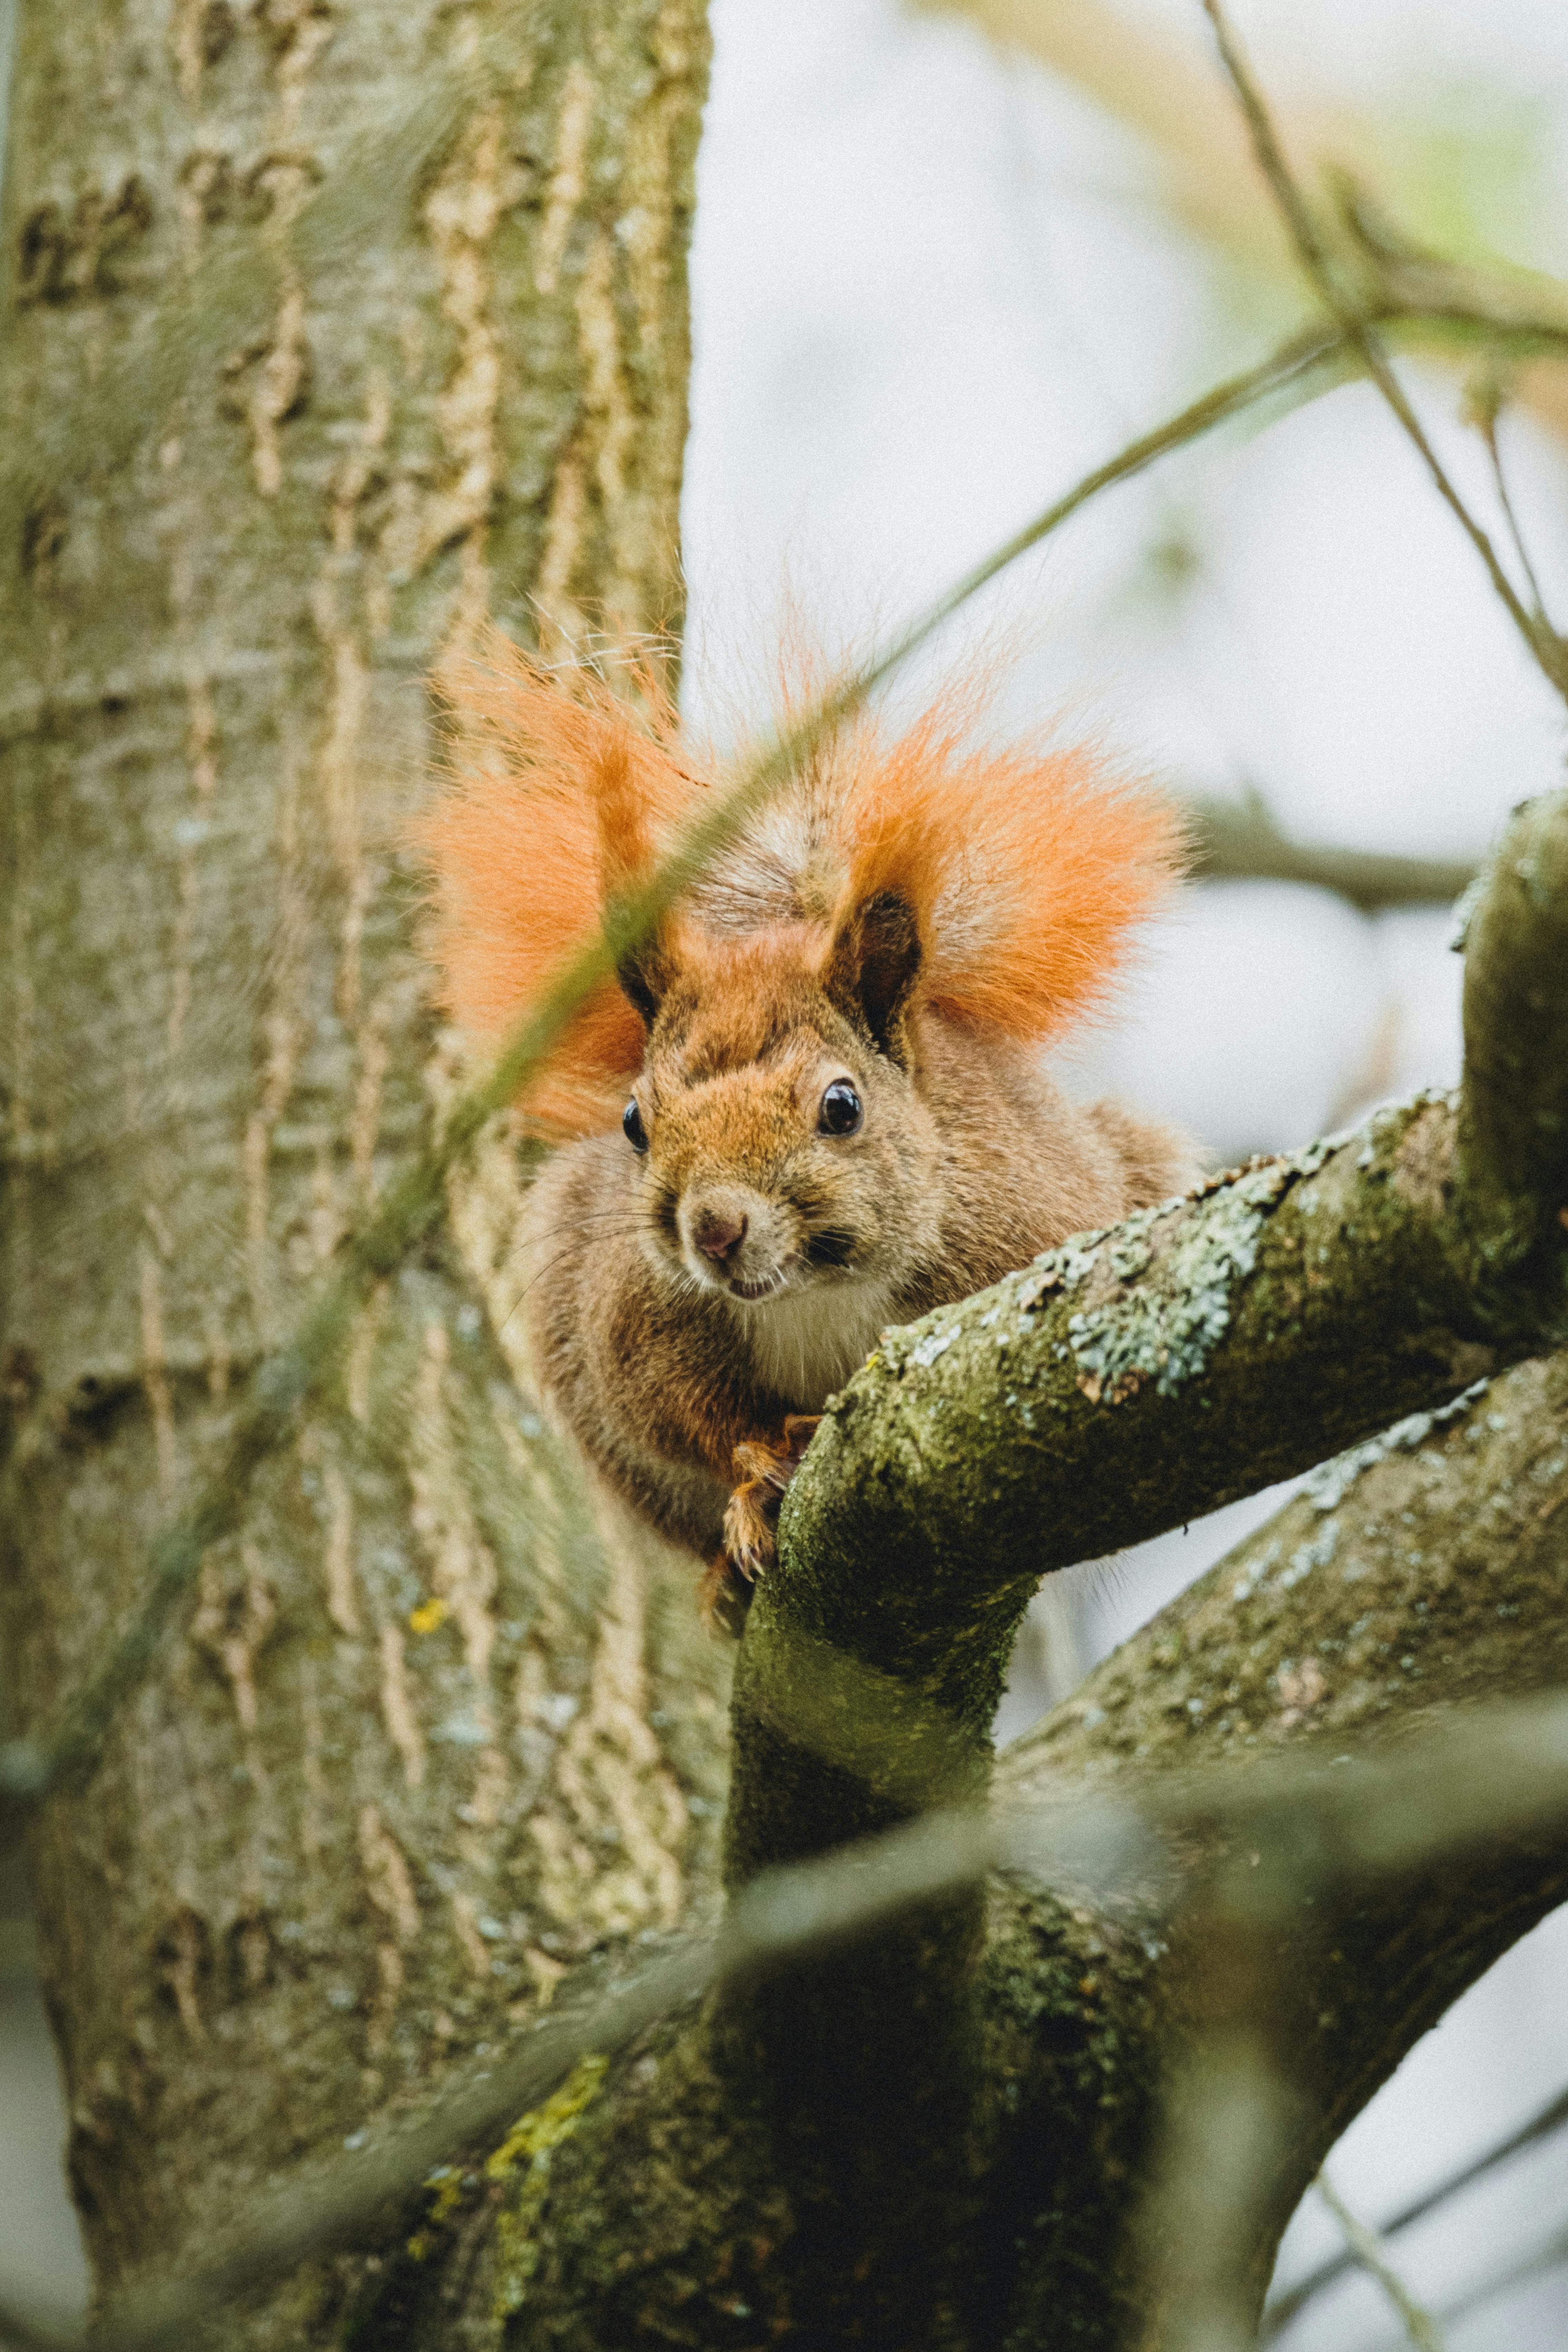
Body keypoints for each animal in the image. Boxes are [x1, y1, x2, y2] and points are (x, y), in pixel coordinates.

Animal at [418, 633, 1191, 1630]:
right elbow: (686, 1413)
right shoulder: (634, 1318)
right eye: (633, 1122)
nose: (714, 1228)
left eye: (841, 1107)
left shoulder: (1018, 1237)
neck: (808, 1287)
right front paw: (757, 1472)